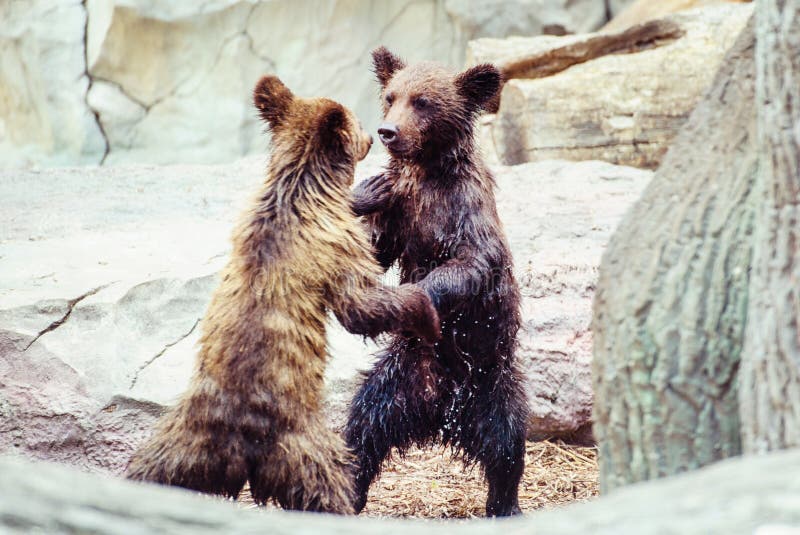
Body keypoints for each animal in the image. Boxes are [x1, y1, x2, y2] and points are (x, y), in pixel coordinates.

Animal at [125, 74, 441, 515]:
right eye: (360, 122)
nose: (374, 137)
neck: (295, 186)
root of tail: (238, 449)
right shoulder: (331, 247)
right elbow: (360, 303)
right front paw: (425, 311)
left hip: (181, 439)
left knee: (151, 466)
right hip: (299, 440)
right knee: (326, 478)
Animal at [345, 48, 529, 517]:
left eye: (423, 101)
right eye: (390, 96)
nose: (388, 131)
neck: (427, 171)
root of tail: (443, 412)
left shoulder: (462, 211)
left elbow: (470, 263)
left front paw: (418, 298)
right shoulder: (400, 211)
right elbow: (372, 248)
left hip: (491, 381)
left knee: (506, 443)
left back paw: (505, 503)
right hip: (399, 377)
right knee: (363, 426)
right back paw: (347, 490)